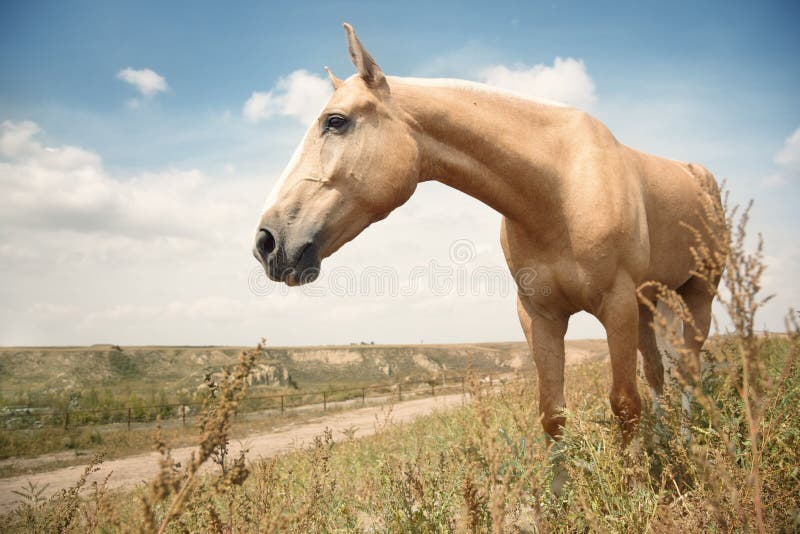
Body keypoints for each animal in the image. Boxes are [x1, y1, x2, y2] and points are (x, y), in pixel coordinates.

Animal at [253, 23, 724, 441]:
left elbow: (625, 406)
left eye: (335, 121)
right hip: (653, 302)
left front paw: (636, 482)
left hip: (696, 294)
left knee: (687, 369)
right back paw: (665, 440)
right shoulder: (539, 315)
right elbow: (553, 415)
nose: (266, 242)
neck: (560, 187)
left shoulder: (618, 303)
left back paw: (686, 443)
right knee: (660, 370)